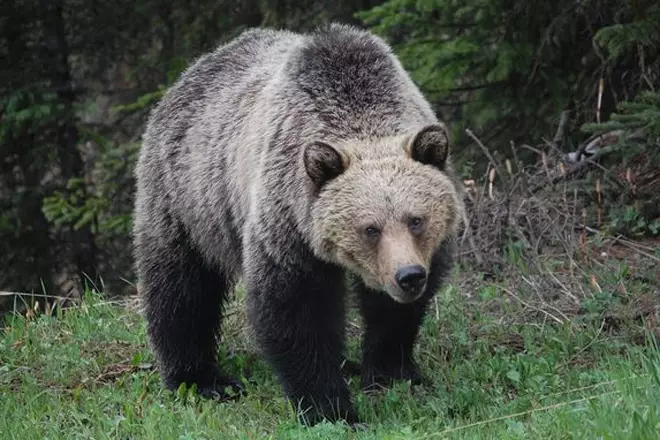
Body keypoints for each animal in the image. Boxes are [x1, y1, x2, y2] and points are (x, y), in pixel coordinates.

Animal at [133, 23, 464, 426]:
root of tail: (189, 73)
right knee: (181, 287)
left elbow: (393, 313)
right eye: (369, 228)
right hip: (187, 197)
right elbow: (295, 309)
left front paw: (393, 372)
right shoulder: (287, 220)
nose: (408, 276)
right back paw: (201, 379)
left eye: (416, 219)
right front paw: (331, 408)